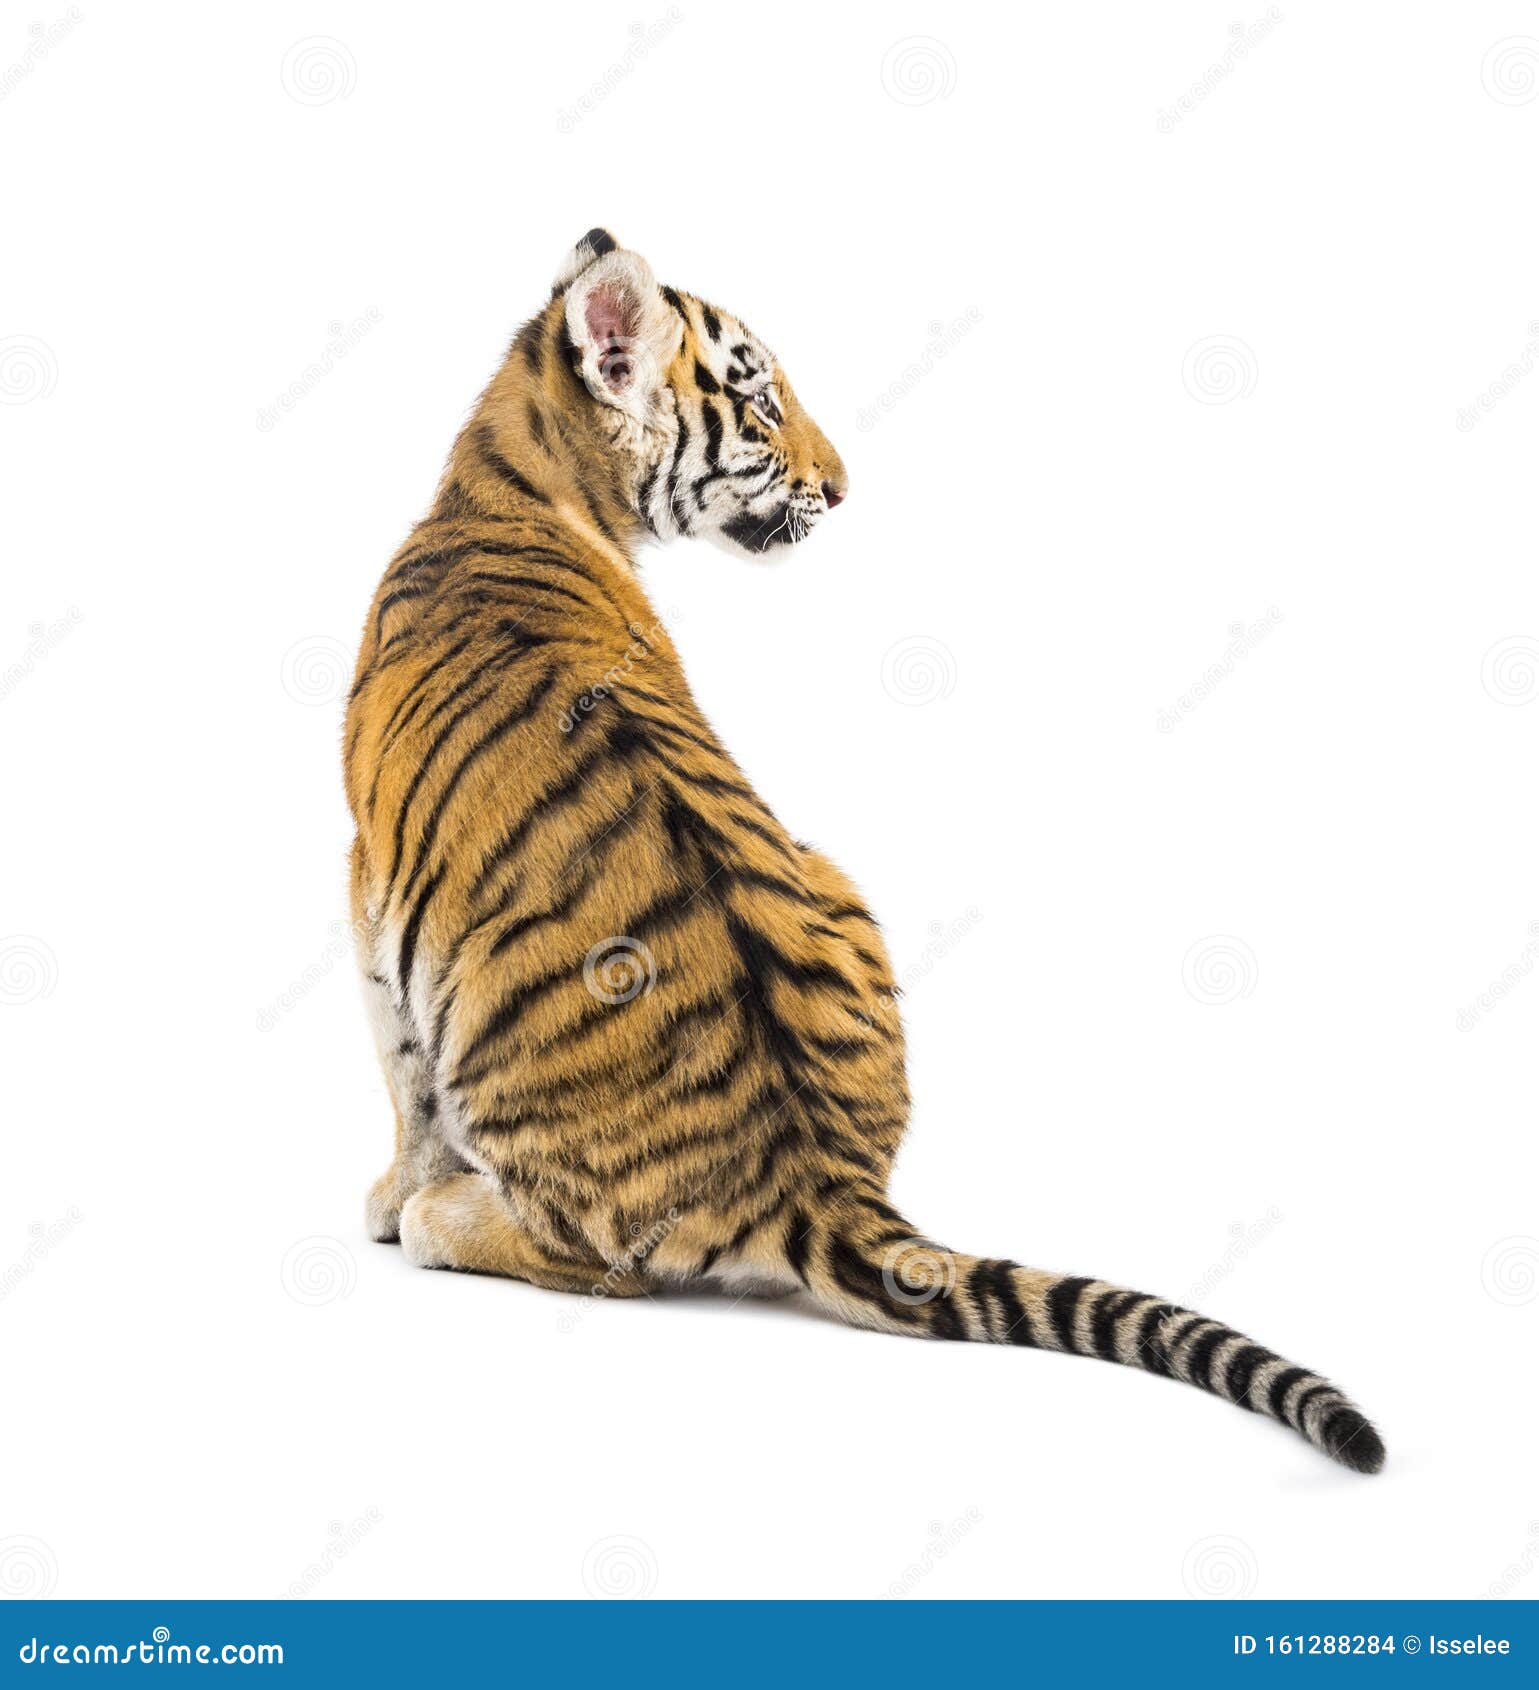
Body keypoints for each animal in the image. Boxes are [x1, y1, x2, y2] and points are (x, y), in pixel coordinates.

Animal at [342, 228, 1385, 1474]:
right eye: (760, 402)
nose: (843, 487)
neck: (511, 476)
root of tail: (816, 1181)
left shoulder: (368, 887)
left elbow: (403, 1079)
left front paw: (391, 1195)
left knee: (591, 1260)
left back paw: (436, 1217)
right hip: (833, 876)